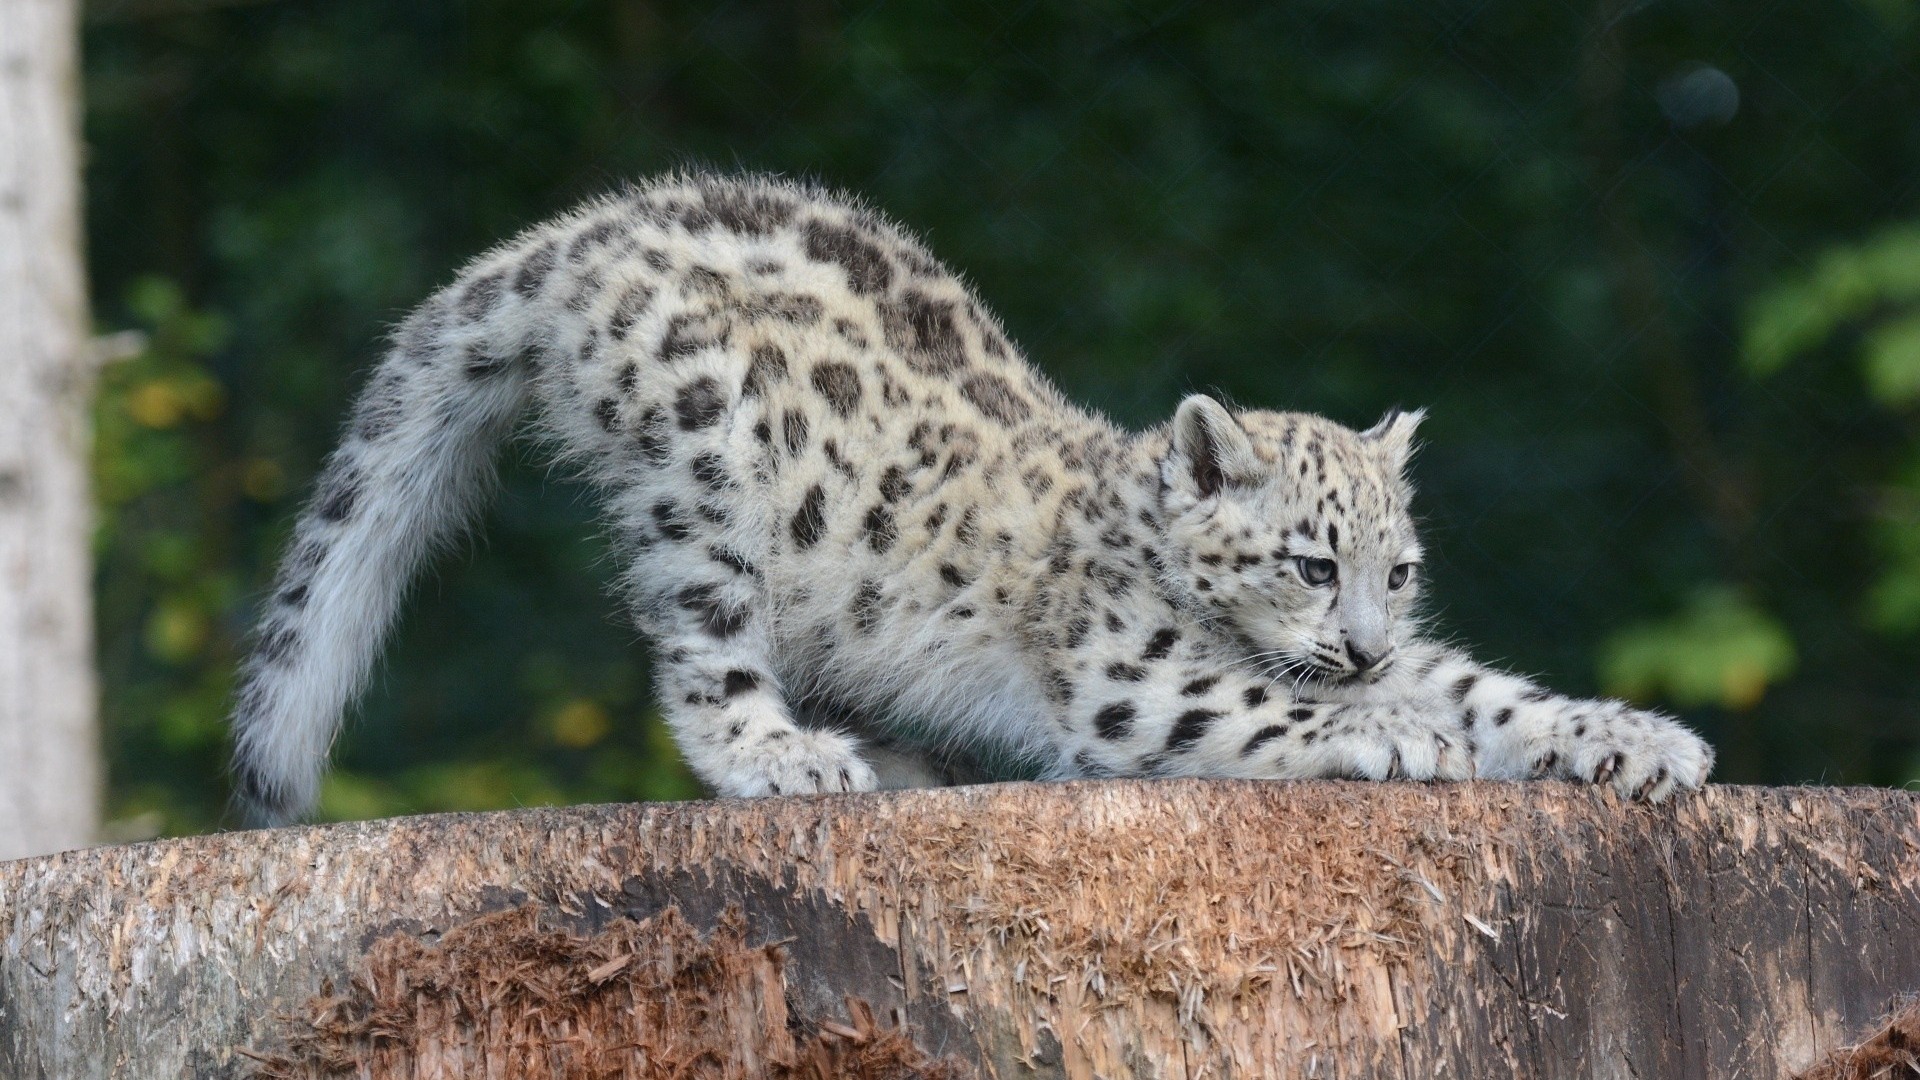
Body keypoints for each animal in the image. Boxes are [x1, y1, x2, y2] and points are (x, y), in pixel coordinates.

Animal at [228, 170, 1715, 825]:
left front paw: (1635, 739)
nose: (1360, 643)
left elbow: (1487, 687)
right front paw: (1396, 729)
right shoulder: (1131, 679)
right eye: (1307, 561)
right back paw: (787, 757)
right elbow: (1263, 704)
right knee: (702, 658)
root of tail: (584, 225)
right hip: (705, 477)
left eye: (1395, 571)